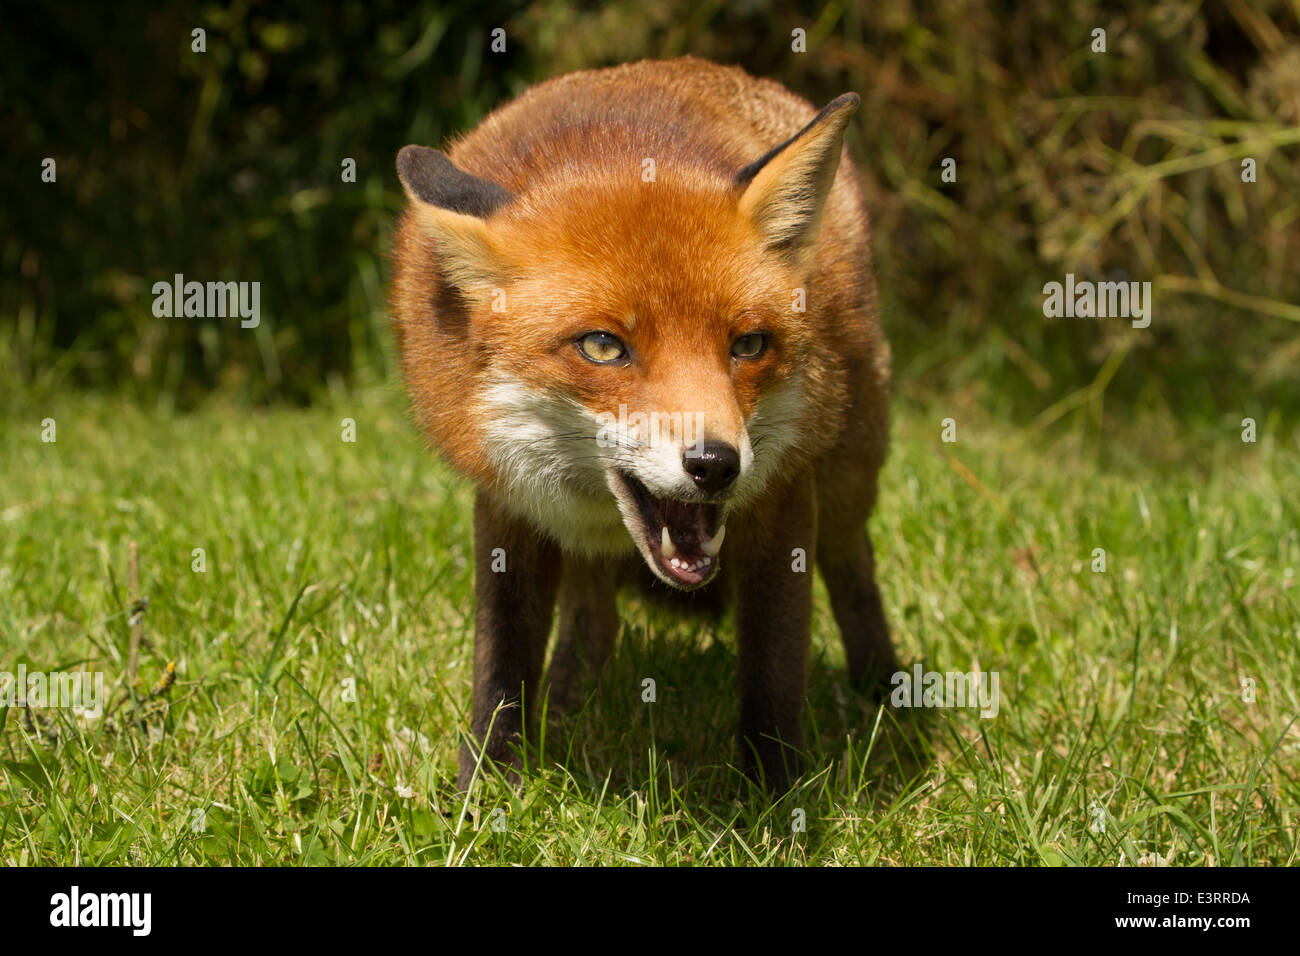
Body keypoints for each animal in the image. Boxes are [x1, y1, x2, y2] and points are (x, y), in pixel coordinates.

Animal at [390, 56, 897, 792]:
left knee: (854, 566)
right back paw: (570, 698)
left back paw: (886, 691)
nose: (716, 465)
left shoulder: (781, 495)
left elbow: (773, 671)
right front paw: (486, 789)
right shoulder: (508, 498)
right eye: (603, 347)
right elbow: (501, 665)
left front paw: (773, 800)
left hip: (850, 465)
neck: (611, 150)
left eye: (749, 345)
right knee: (594, 616)